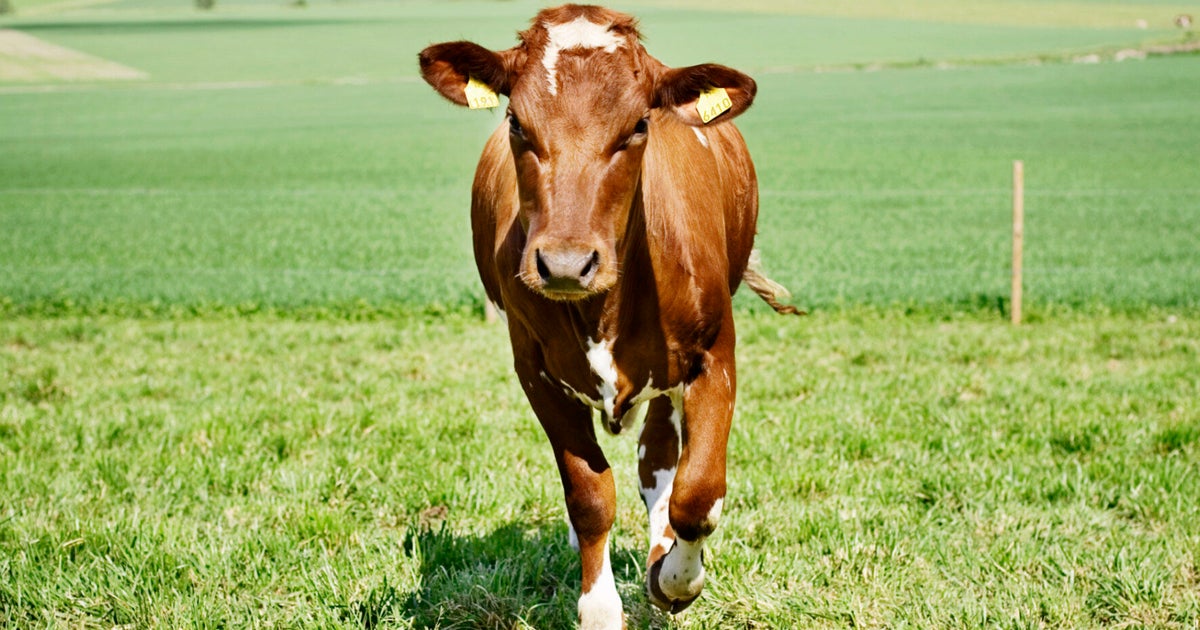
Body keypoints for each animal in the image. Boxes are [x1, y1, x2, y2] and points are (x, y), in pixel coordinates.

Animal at [419, 5, 798, 628]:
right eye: (516, 122)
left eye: (639, 125)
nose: (565, 263)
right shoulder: (535, 371)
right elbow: (590, 495)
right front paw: (599, 607)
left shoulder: (715, 354)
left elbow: (697, 493)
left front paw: (676, 579)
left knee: (658, 462)